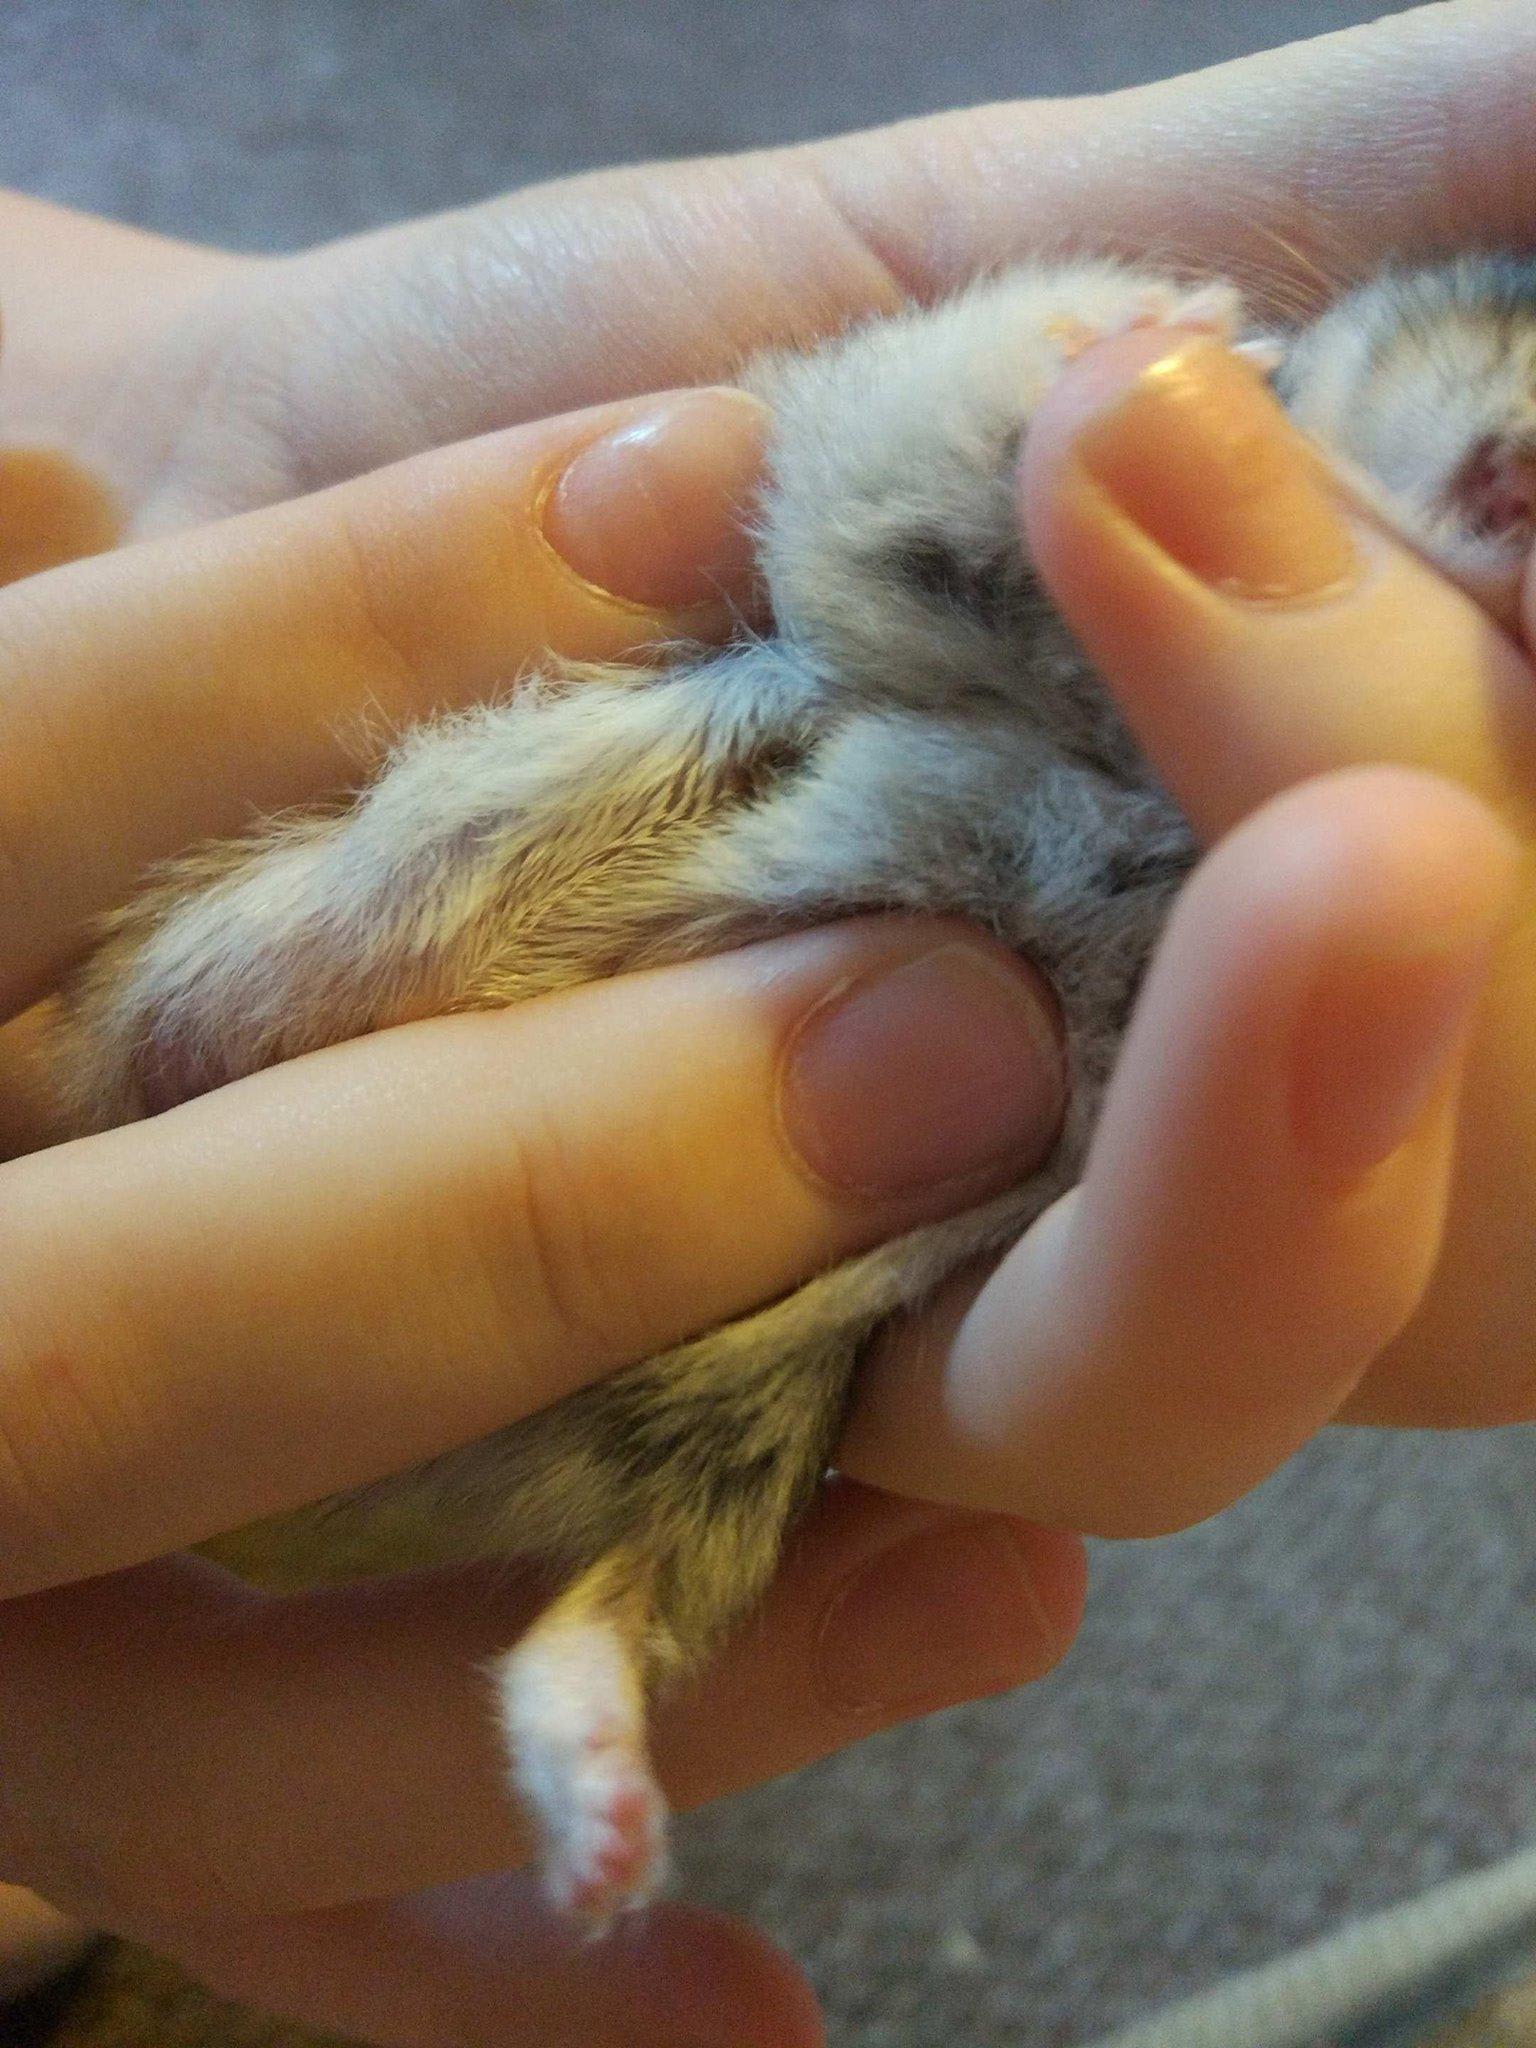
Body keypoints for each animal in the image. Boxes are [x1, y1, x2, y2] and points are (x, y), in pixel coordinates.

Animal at [41, 253, 1536, 1921]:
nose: (1527, 479)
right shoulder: (880, 576)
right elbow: (929, 475)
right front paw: (1166, 335)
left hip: (746, 1427)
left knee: (607, 1615)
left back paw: (609, 1851)